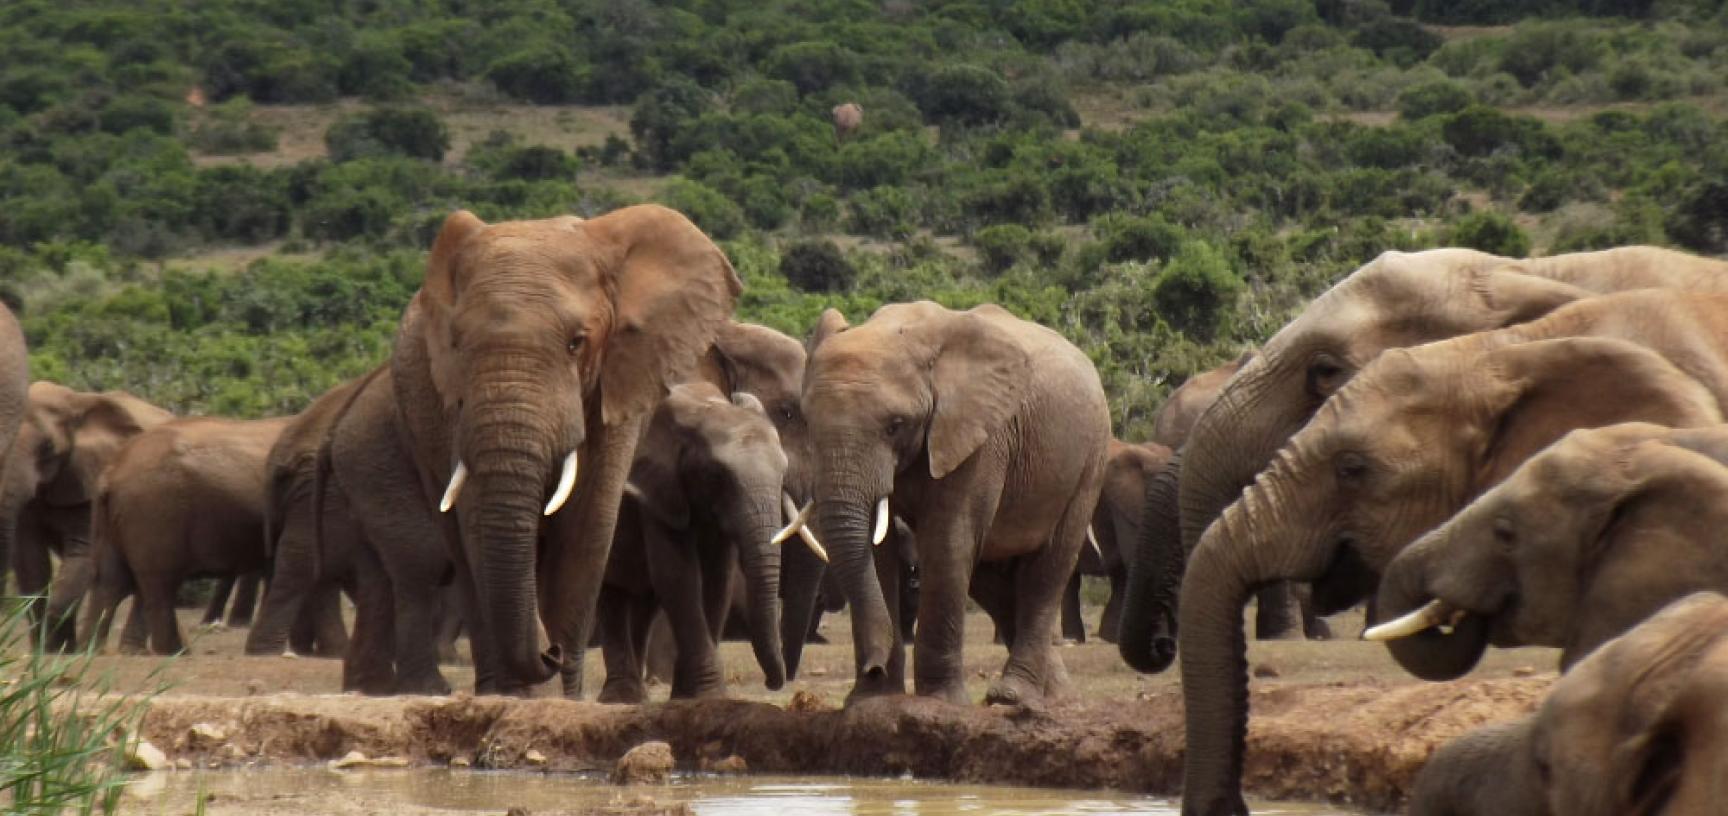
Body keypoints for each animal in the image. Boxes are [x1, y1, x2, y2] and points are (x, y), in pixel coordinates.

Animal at [0, 382, 171, 650]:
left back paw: (130, 650)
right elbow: (31, 561)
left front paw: (58, 647)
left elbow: (82, 554)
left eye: (48, 448)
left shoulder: (91, 481)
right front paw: (48, 649)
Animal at [81, 415, 294, 654]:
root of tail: (112, 469)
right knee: (157, 584)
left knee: (112, 582)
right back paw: (171, 651)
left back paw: (99, 651)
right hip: (155, 509)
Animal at [336, 206, 739, 696]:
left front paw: (563, 695)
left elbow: (587, 527)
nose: (550, 652)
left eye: (576, 343)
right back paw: (492, 687)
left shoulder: (618, 385)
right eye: (457, 345)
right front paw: (520, 692)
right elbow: (477, 522)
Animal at [595, 383, 793, 703]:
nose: (771, 683)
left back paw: (639, 696)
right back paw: (622, 697)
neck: (704, 406)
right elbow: (678, 577)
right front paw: (709, 695)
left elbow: (717, 581)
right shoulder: (657, 490)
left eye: (783, 473)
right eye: (715, 476)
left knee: (643, 601)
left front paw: (689, 696)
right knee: (611, 595)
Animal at [801, 301, 1109, 708]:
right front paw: (871, 699)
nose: (873, 666)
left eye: (895, 425)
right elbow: (879, 551)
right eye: (805, 421)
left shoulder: (980, 439)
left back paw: (1014, 696)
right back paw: (1053, 697)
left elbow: (947, 541)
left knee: (1048, 570)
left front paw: (941, 702)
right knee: (990, 581)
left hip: (1090, 459)